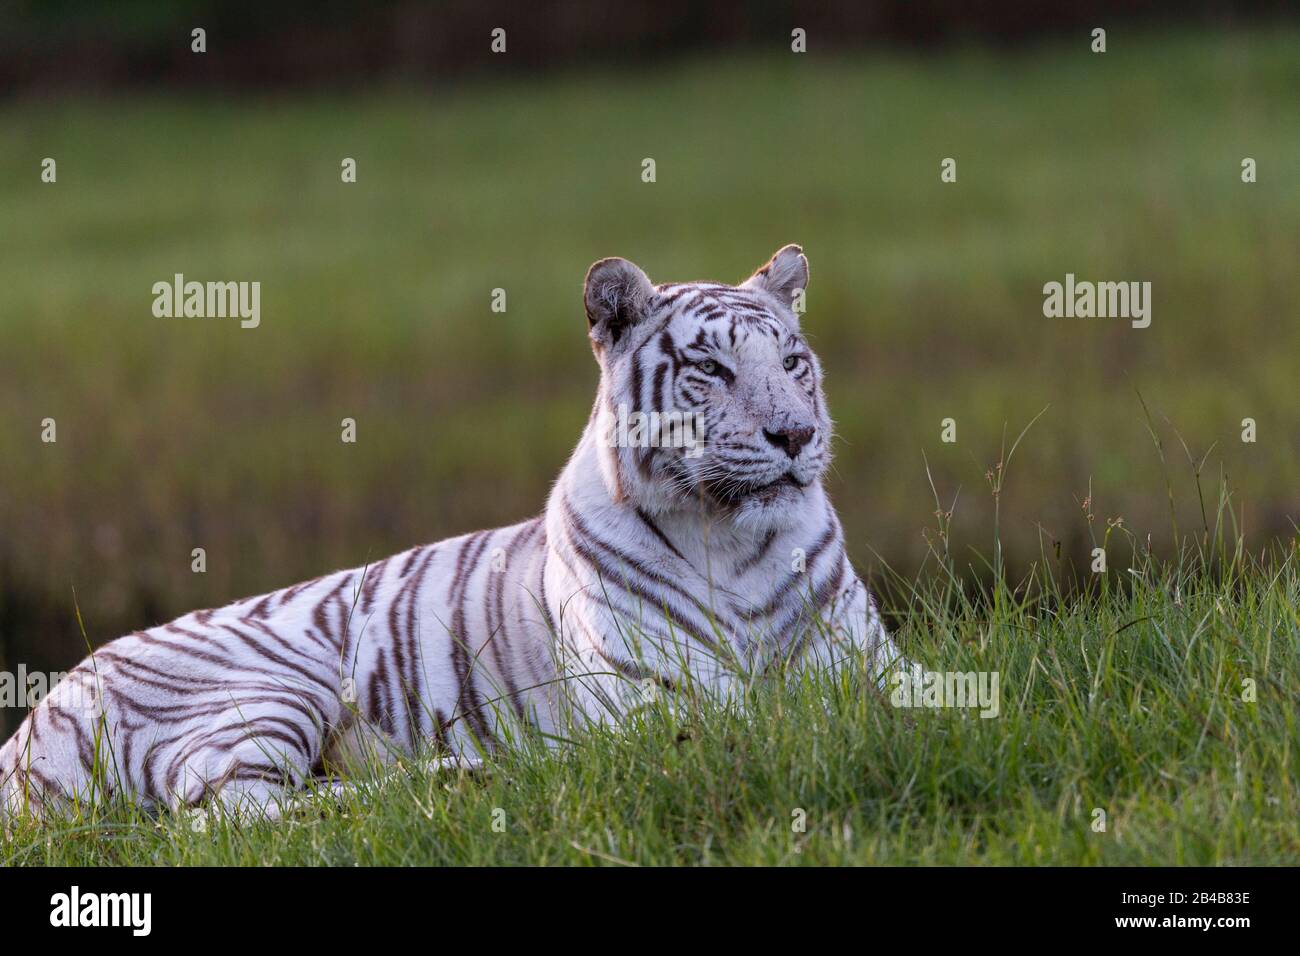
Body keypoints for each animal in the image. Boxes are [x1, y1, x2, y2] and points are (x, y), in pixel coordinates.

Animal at [0, 244, 908, 822]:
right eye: (712, 370)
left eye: (790, 362)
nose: (795, 435)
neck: (737, 541)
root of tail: (26, 726)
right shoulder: (651, 695)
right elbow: (759, 724)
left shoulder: (877, 660)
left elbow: (909, 700)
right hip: (266, 691)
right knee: (233, 815)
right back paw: (460, 778)